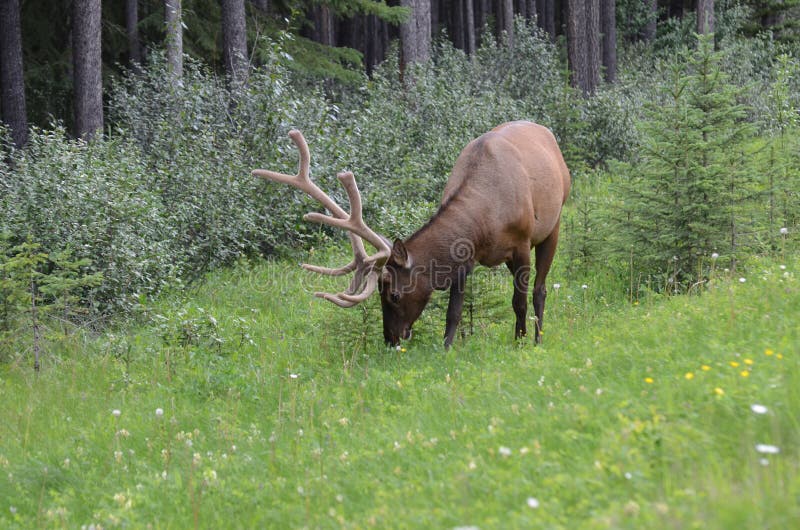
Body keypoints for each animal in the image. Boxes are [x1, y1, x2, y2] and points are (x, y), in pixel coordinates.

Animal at [253, 121, 571, 348]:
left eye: (393, 294)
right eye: (379, 293)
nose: (390, 339)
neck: (485, 221)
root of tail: (546, 132)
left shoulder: (521, 243)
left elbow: (518, 301)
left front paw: (519, 341)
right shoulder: (466, 258)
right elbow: (453, 311)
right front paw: (447, 348)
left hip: (553, 225)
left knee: (540, 289)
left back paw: (538, 338)